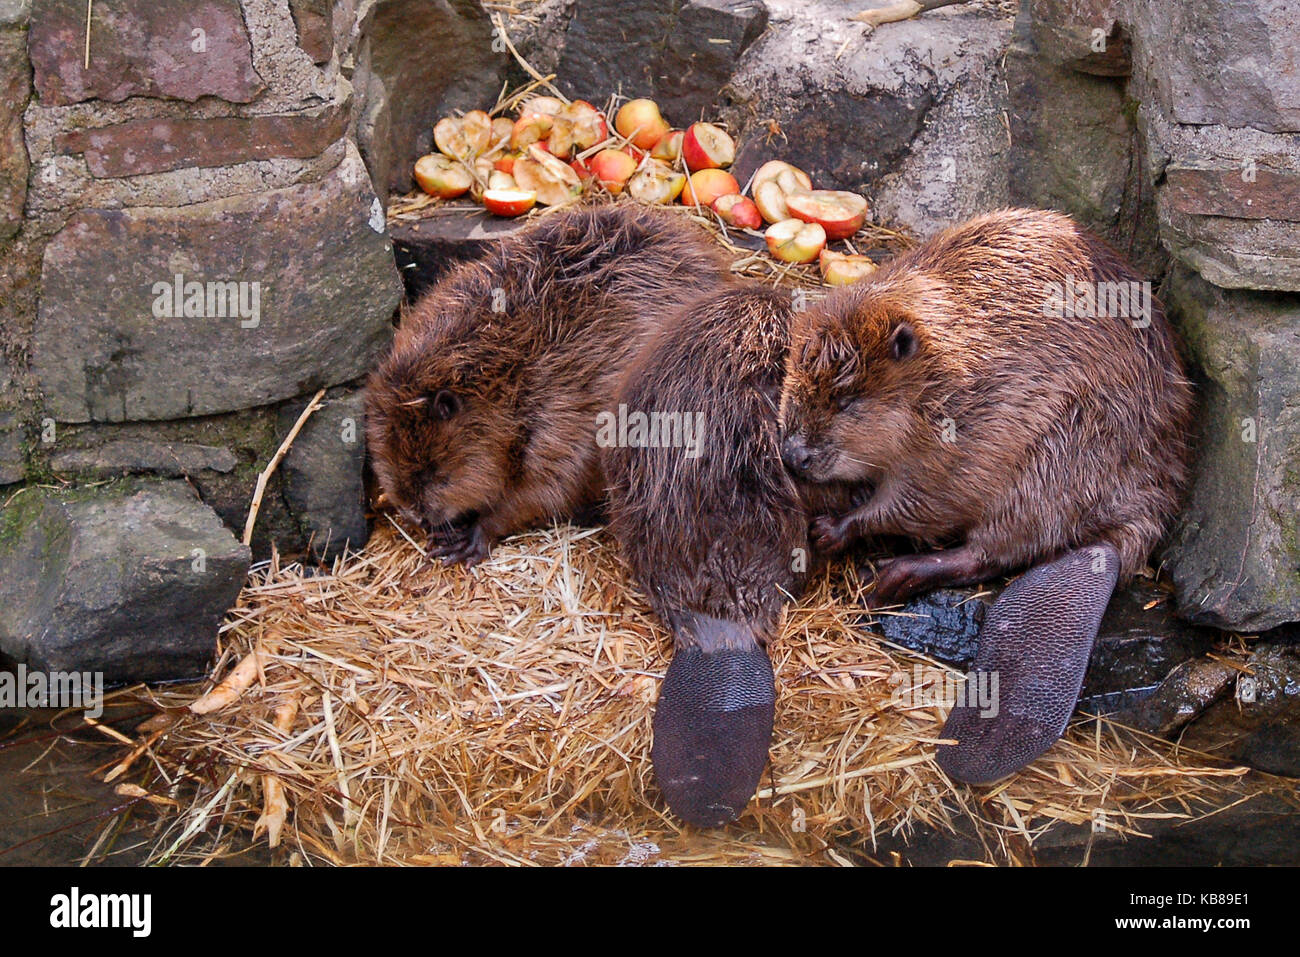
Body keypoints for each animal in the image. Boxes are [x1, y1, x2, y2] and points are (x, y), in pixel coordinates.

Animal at [778, 207, 1195, 784]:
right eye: (791, 376)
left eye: (846, 401)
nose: (794, 454)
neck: (943, 361)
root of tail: (1108, 547)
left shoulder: (969, 431)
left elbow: (918, 501)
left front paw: (835, 529)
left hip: (1061, 453)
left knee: (994, 550)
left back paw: (890, 578)